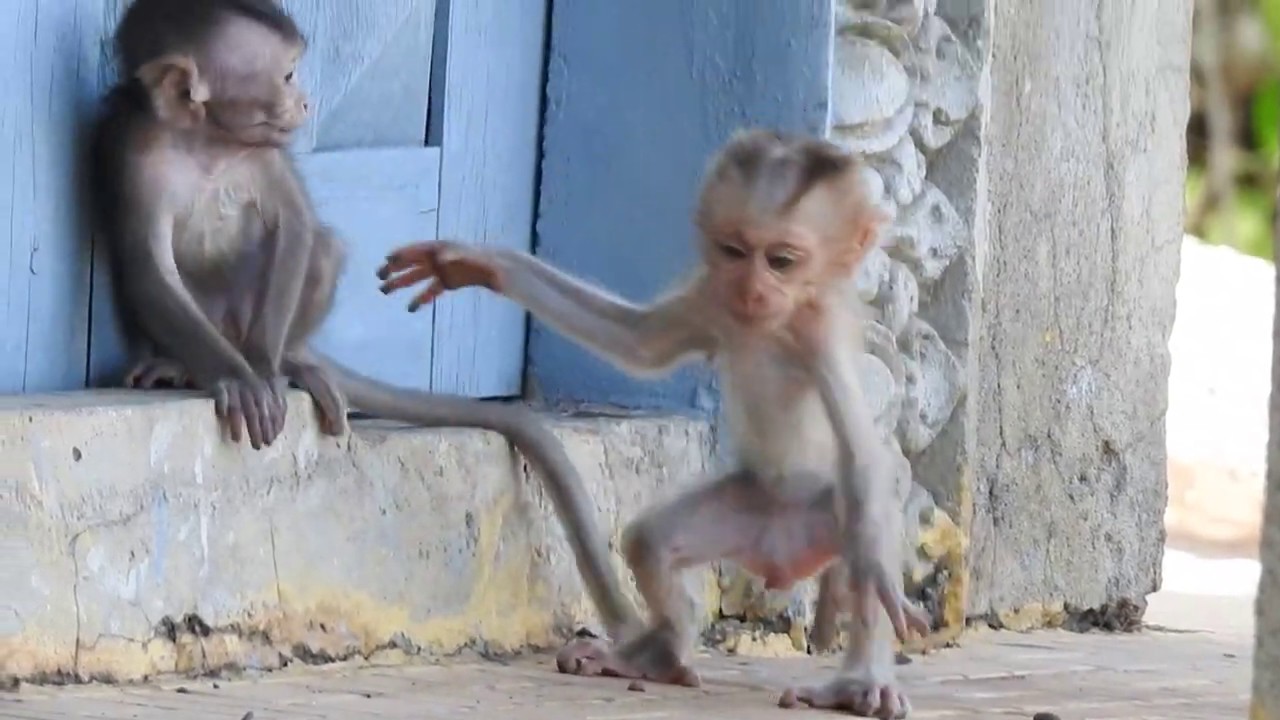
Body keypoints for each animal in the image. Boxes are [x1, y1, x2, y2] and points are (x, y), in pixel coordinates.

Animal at [86, 0, 642, 649]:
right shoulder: (137, 150)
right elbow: (146, 265)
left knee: (319, 247)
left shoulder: (265, 152)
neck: (209, 145)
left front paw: (265, 370)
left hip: (248, 313)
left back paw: (294, 359)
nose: (306, 103)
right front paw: (238, 378)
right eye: (285, 76)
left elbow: (295, 227)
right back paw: (180, 363)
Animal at [376, 129, 933, 718]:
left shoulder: (819, 335)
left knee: (864, 523)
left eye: (781, 260)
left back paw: (858, 681)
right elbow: (638, 343)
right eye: (735, 251)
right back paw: (659, 656)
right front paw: (473, 264)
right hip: (749, 509)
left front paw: (877, 582)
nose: (751, 287)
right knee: (652, 540)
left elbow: (863, 452)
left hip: (823, 514)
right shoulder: (713, 298)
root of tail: (783, 551)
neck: (770, 324)